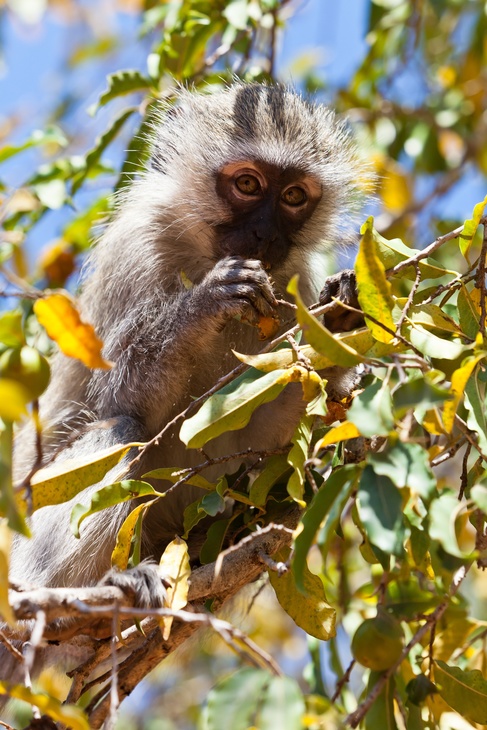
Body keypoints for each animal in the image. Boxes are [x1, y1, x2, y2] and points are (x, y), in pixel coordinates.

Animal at [2, 84, 367, 682]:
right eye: (248, 184)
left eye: (294, 196)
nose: (265, 234)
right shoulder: (136, 245)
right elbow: (119, 399)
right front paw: (205, 305)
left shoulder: (294, 283)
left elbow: (253, 441)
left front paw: (337, 323)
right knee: (119, 431)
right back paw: (60, 600)